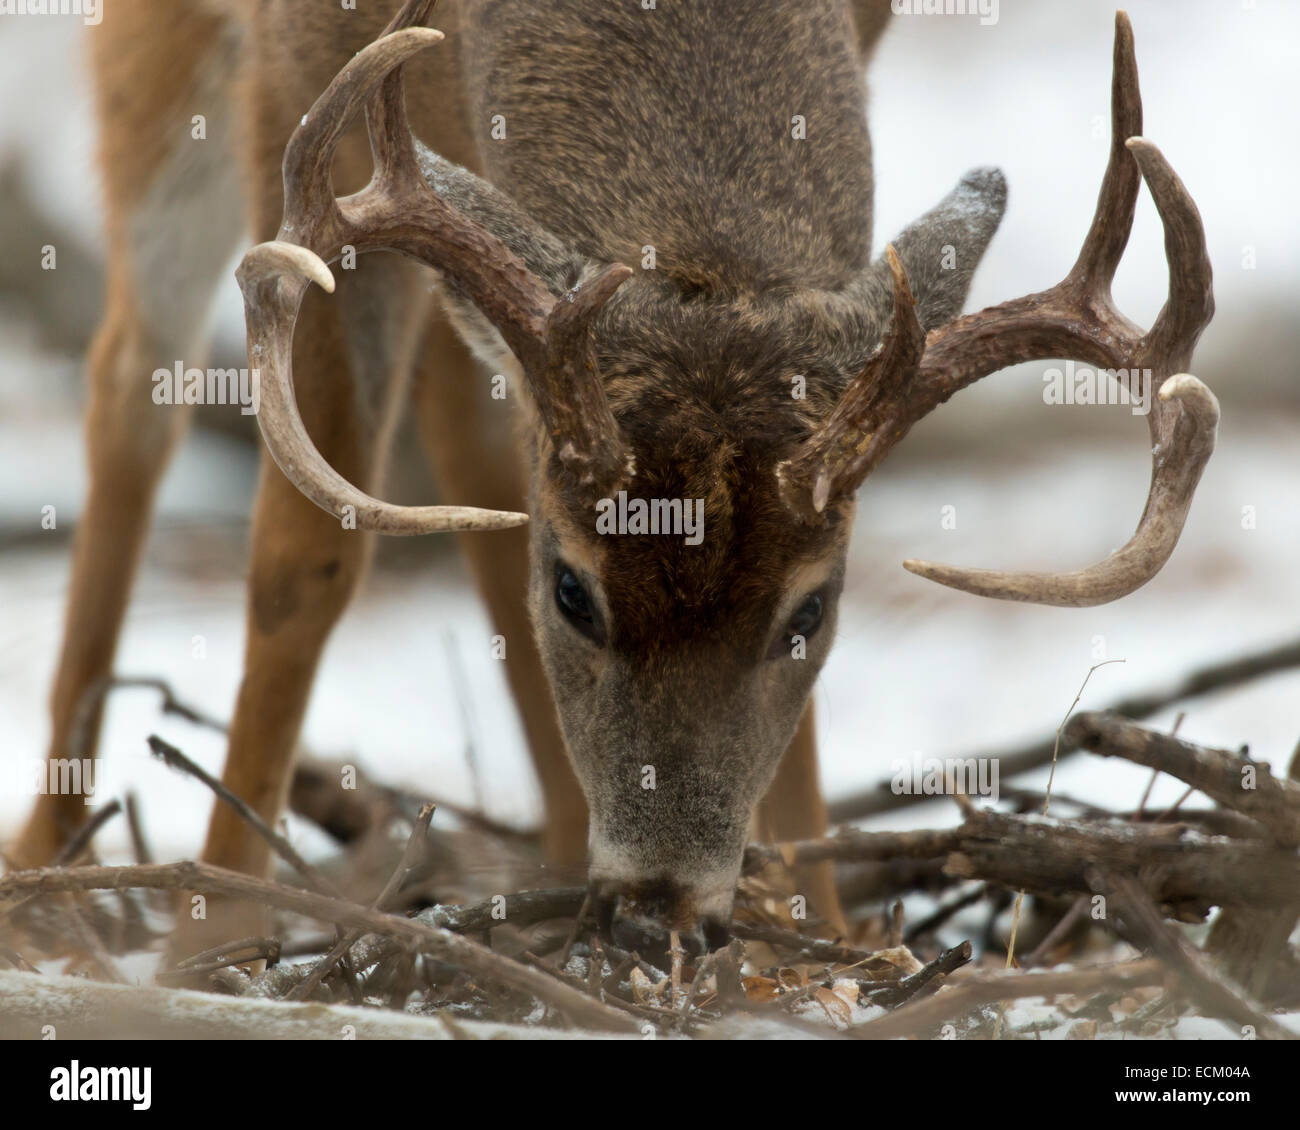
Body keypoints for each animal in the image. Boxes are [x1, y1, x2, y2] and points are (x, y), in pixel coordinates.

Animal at [11, 0, 1214, 966]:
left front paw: (819, 919)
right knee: (133, 380)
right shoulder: (300, 58)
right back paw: (45, 863)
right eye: (574, 593)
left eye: (811, 612)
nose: (657, 905)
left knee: (465, 426)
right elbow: (307, 549)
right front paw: (213, 933)